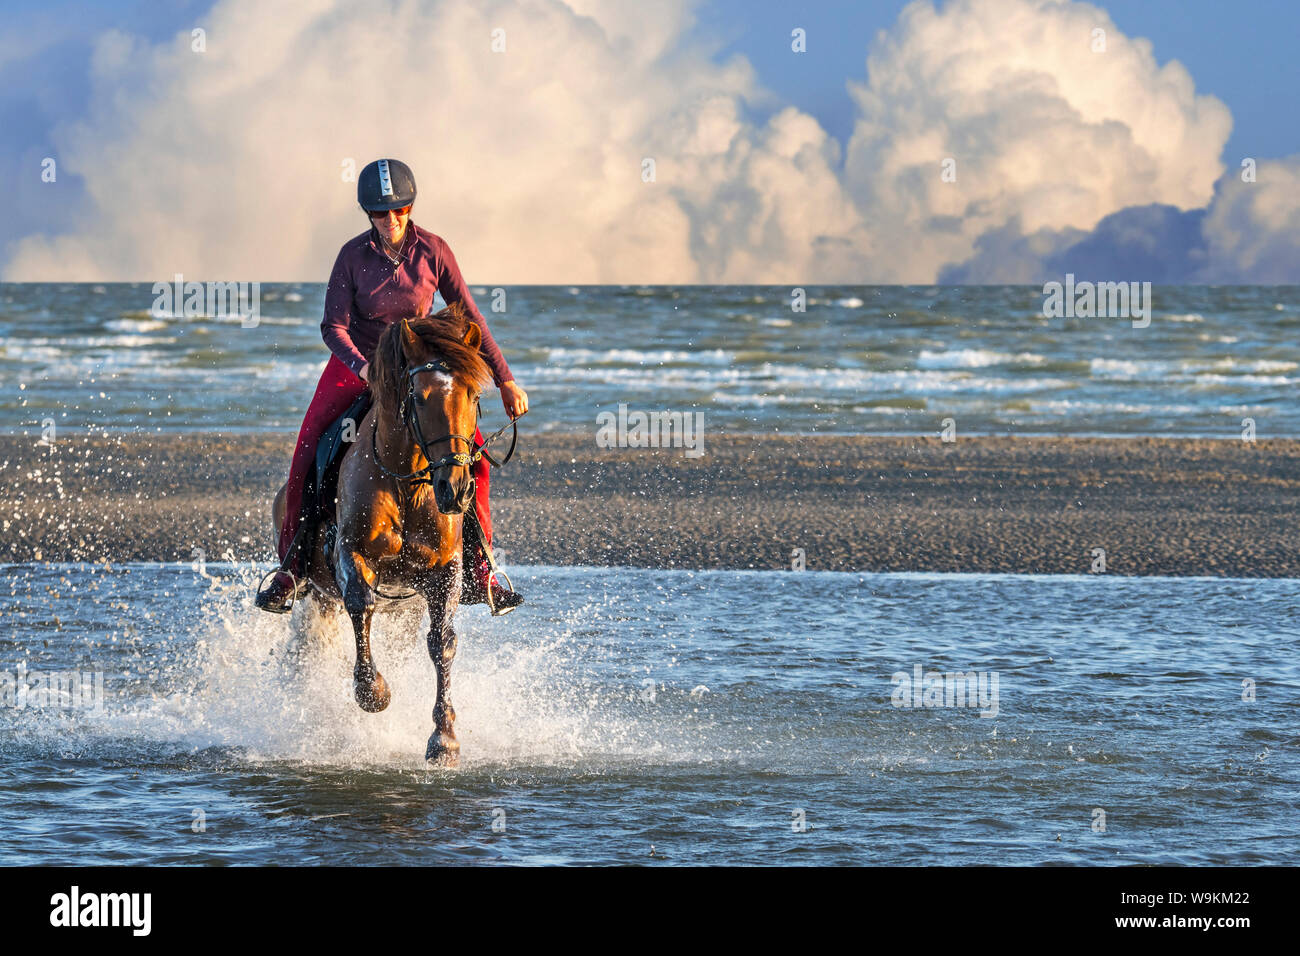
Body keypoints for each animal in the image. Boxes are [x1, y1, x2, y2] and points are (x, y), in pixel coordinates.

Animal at [271, 303, 493, 765]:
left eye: (474, 396)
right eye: (420, 397)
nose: (457, 488)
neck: (407, 483)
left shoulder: (444, 573)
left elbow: (442, 642)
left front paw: (444, 740)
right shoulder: (351, 556)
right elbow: (361, 604)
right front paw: (373, 692)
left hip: (402, 608)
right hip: (315, 592)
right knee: (310, 645)